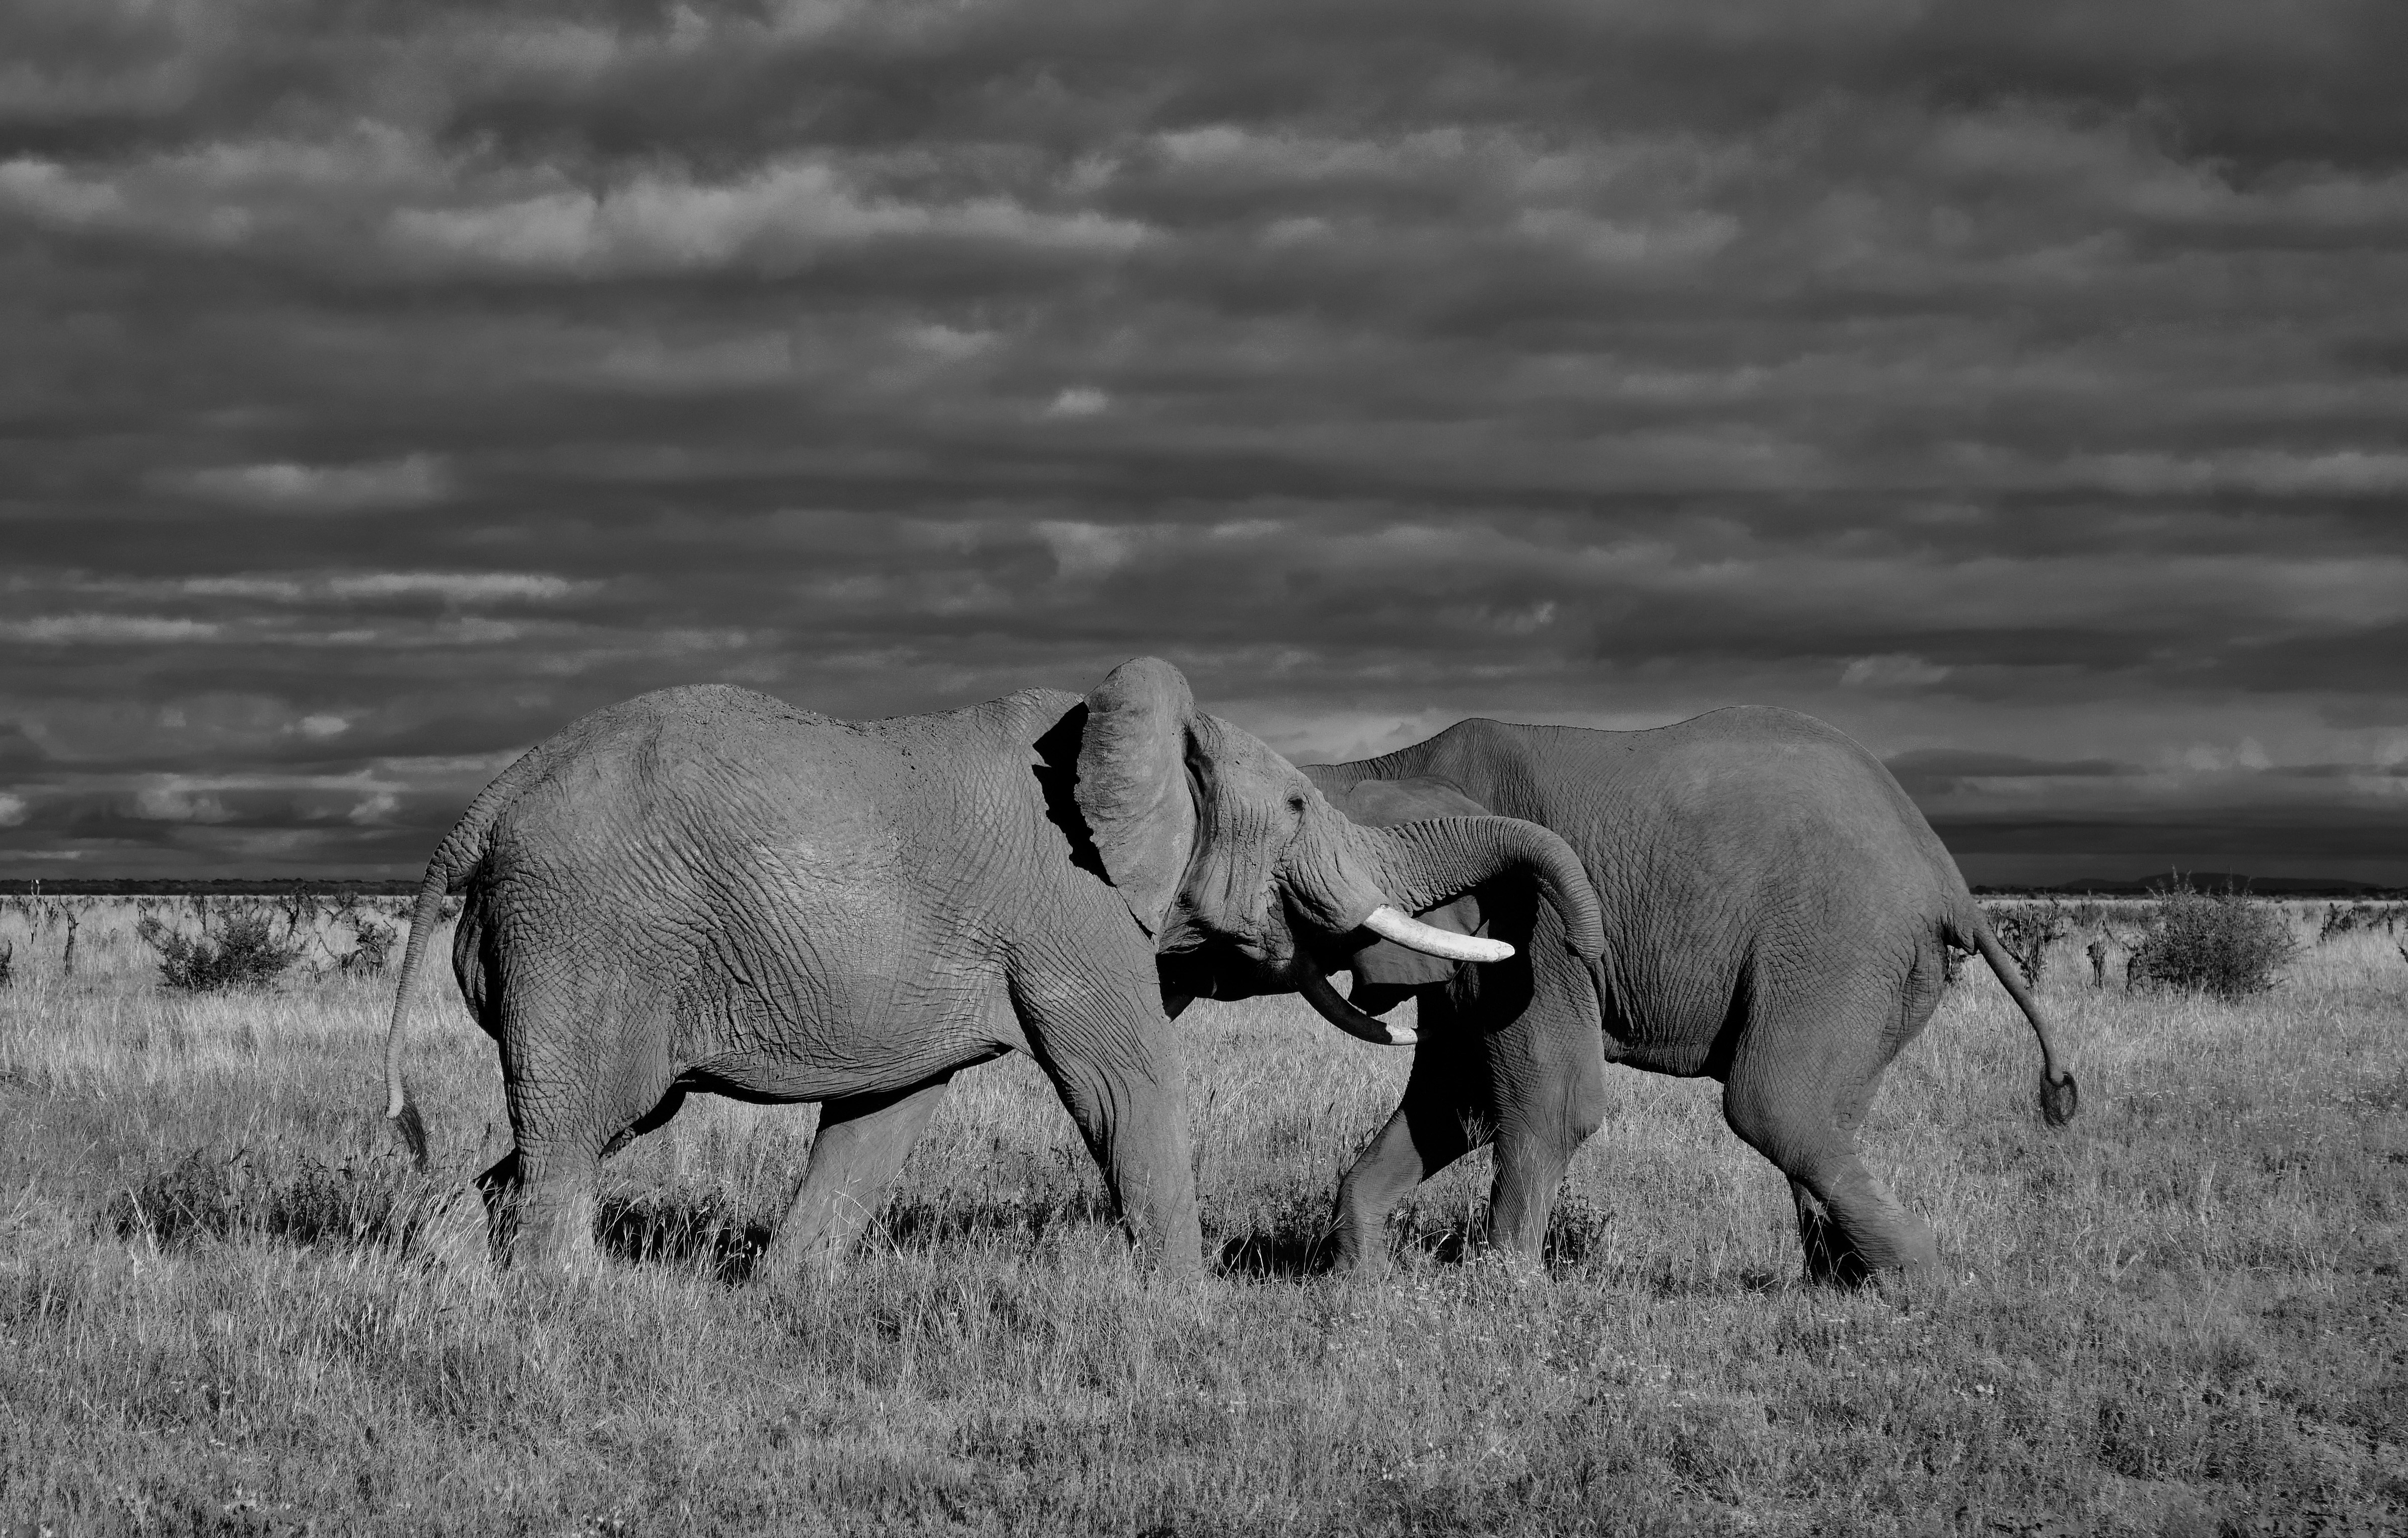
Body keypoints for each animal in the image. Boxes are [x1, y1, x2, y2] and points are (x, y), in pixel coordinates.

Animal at [381, 657, 1606, 1278]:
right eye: (1303, 804)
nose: (1588, 947)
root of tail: (483, 807)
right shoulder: (1069, 904)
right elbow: (1124, 1086)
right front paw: (1189, 1317)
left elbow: (885, 1112)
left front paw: (790, 1302)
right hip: (587, 935)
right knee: (578, 1126)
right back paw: (565, 1307)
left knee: (589, 1124)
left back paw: (446, 1270)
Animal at [1303, 706, 2078, 1287]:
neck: (1380, 769)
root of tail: (1948, 878)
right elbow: (1450, 1098)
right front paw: (1355, 1281)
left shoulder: (1529, 917)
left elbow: (1550, 1101)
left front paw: (1502, 1292)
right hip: (1882, 972)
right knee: (1825, 1115)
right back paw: (1840, 1287)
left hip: (1839, 946)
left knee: (1774, 1104)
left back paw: (1911, 1281)